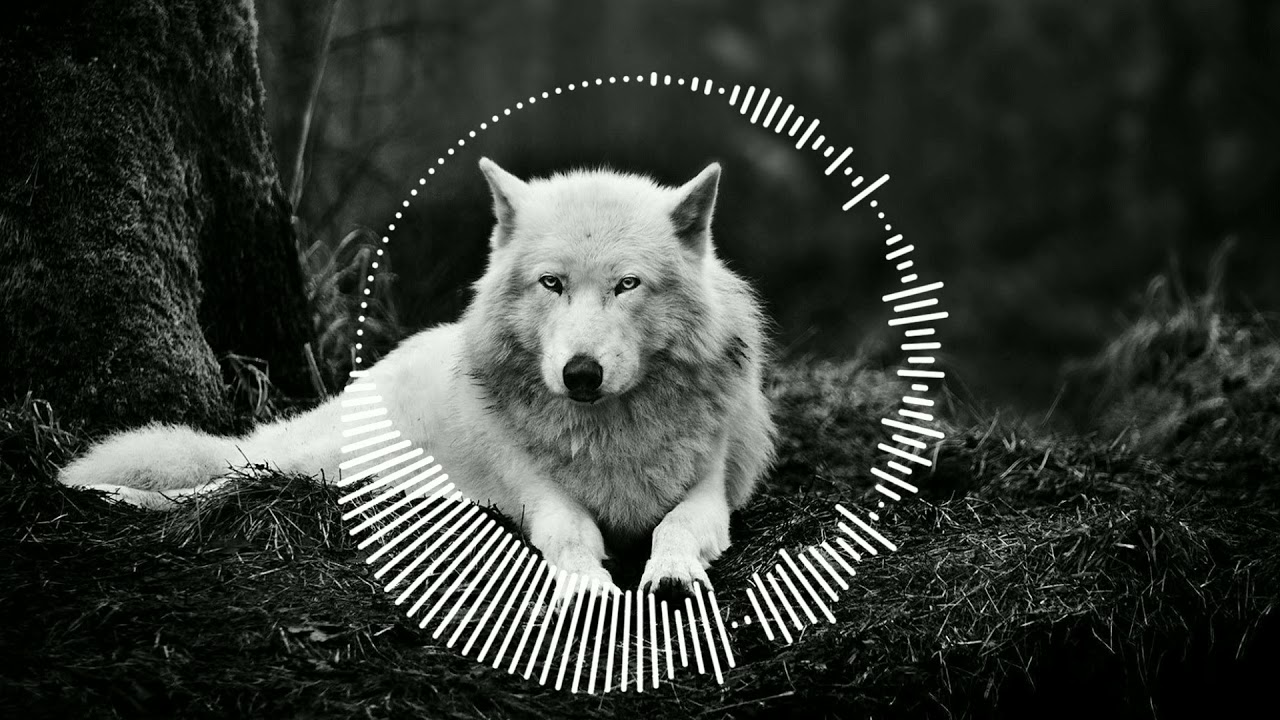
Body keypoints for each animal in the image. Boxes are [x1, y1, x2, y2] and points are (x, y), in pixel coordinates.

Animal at [59, 158, 778, 605]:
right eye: (551, 283)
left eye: (628, 284)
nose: (580, 373)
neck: (609, 433)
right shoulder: (541, 497)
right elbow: (576, 536)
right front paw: (586, 584)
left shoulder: (710, 495)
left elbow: (674, 529)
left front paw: (673, 572)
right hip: (320, 462)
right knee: (224, 477)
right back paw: (109, 492)